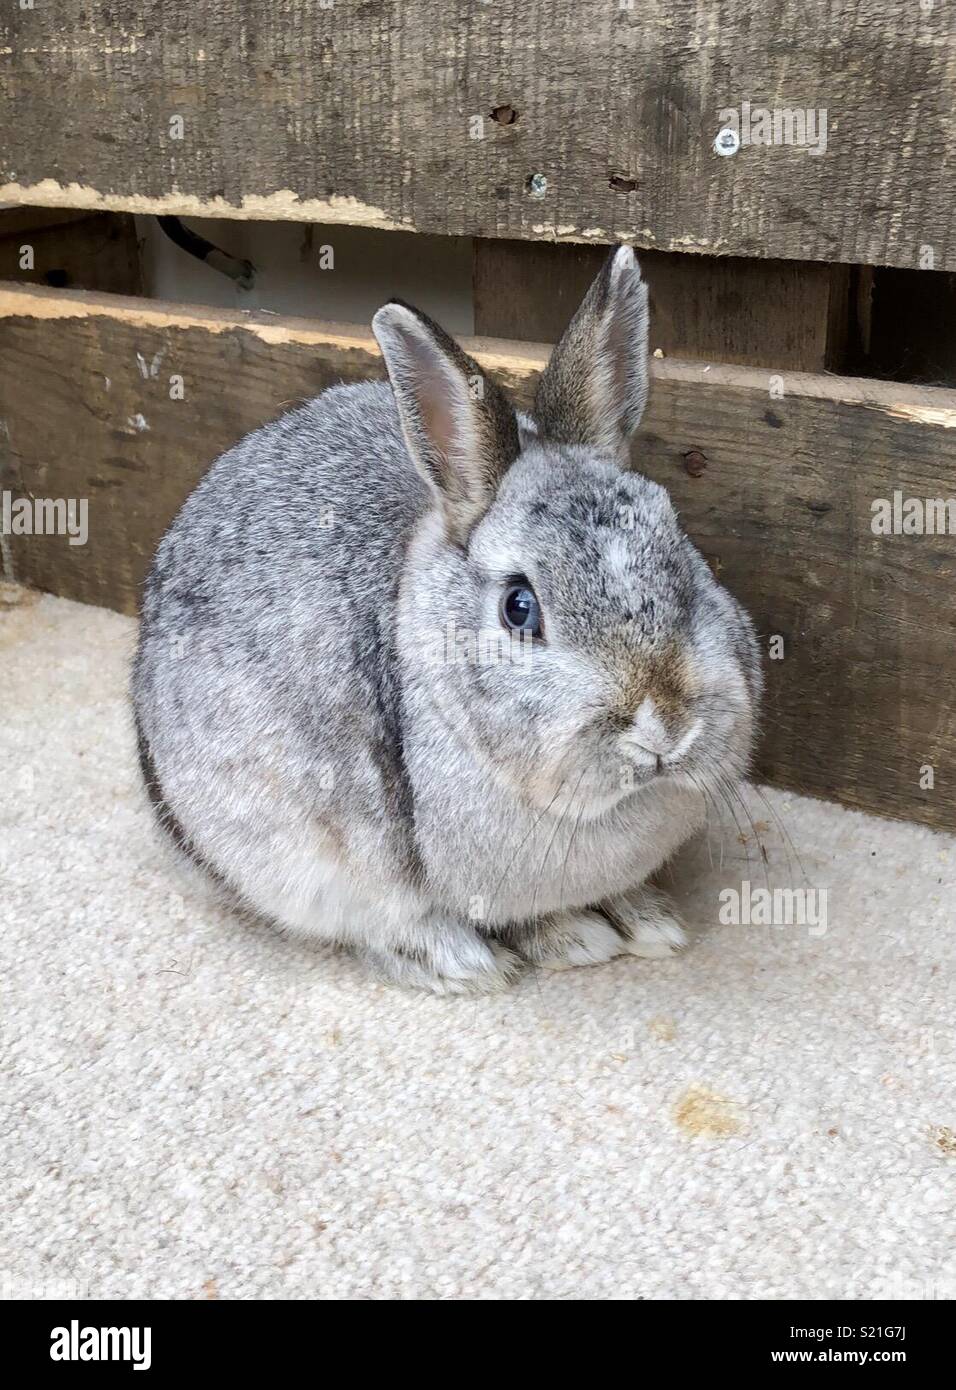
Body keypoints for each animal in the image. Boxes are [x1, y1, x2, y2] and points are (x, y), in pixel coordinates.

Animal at [132, 245, 762, 994]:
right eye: (519, 607)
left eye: (680, 550)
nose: (665, 724)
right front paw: (565, 942)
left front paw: (644, 922)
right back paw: (455, 961)